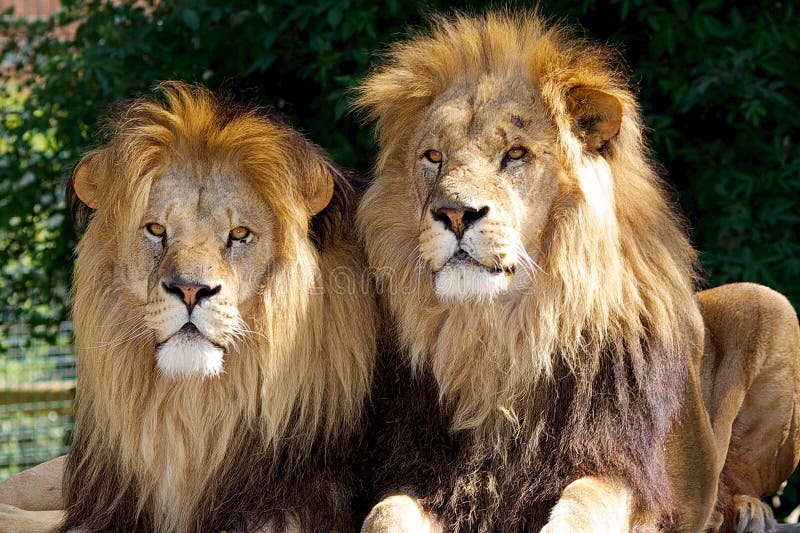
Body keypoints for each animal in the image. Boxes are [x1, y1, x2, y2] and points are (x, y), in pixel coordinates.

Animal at [353, 12, 800, 532]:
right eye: (433, 156)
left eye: (516, 154)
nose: (455, 213)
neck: (502, 331)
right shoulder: (425, 472)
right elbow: (384, 514)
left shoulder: (624, 464)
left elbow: (585, 504)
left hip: (771, 305)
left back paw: (748, 511)